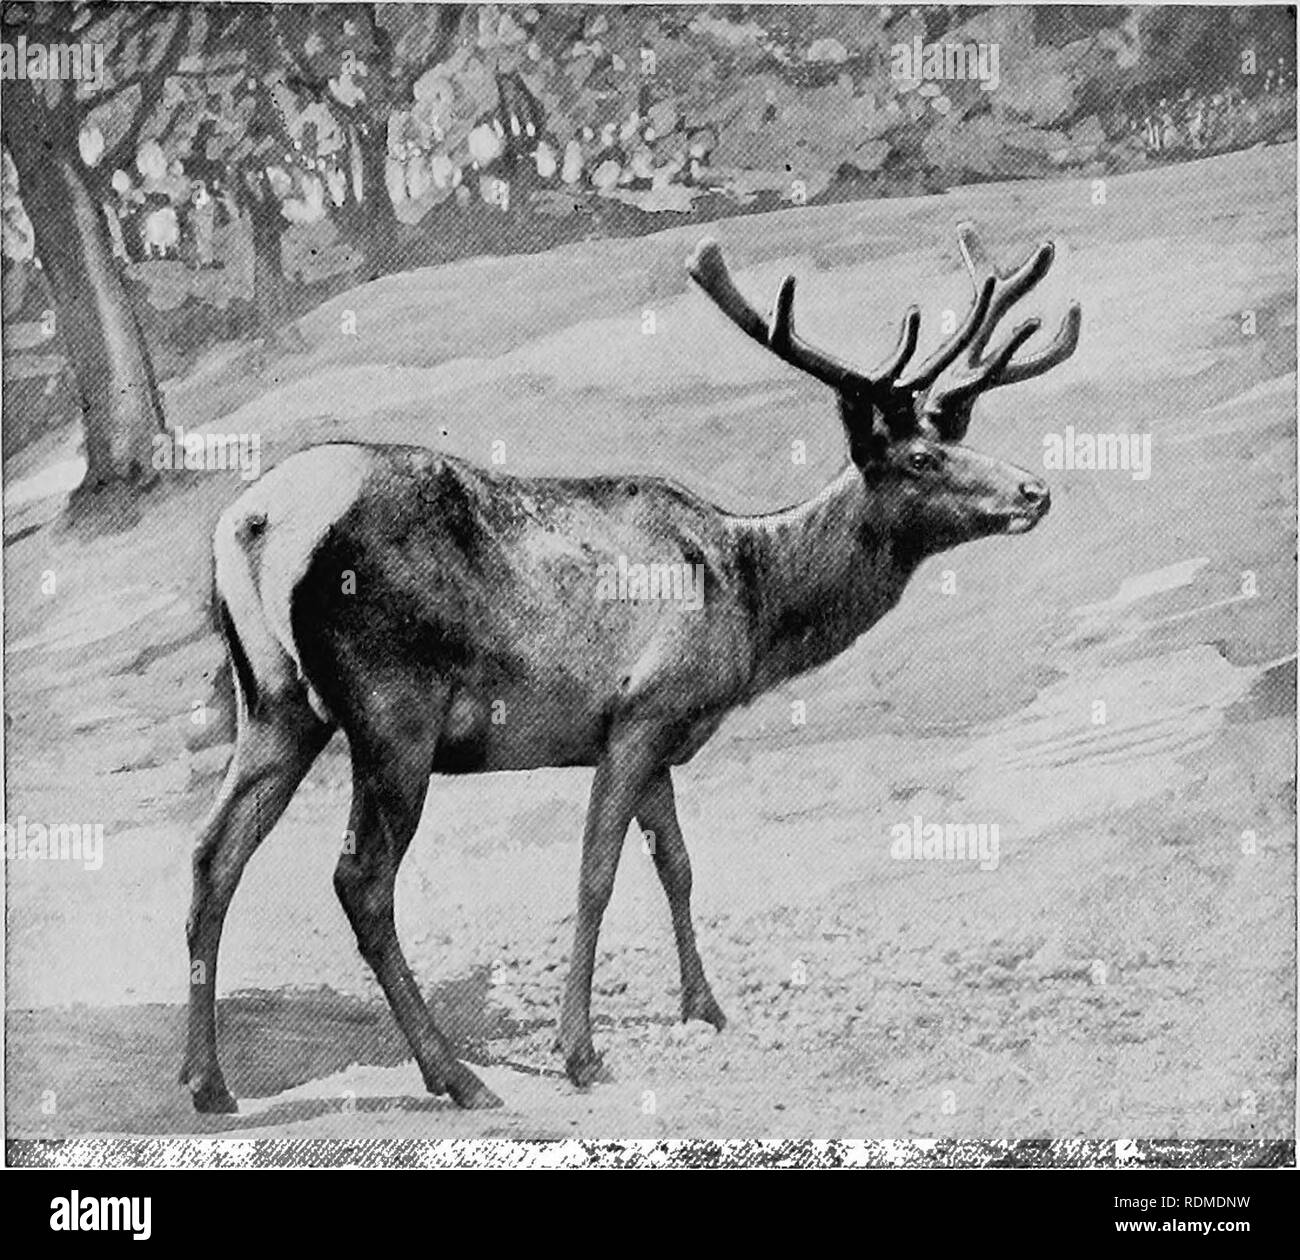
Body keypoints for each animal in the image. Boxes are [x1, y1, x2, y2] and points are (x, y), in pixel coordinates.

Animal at [179, 225, 1081, 1113]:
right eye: (921, 460)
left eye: (957, 438)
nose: (1034, 491)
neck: (749, 599)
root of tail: (250, 521)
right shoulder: (637, 714)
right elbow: (596, 877)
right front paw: (580, 1052)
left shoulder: (666, 734)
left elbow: (678, 866)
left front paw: (706, 1007)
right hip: (391, 708)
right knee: (360, 881)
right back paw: (456, 1076)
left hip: (276, 702)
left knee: (213, 851)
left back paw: (208, 1081)